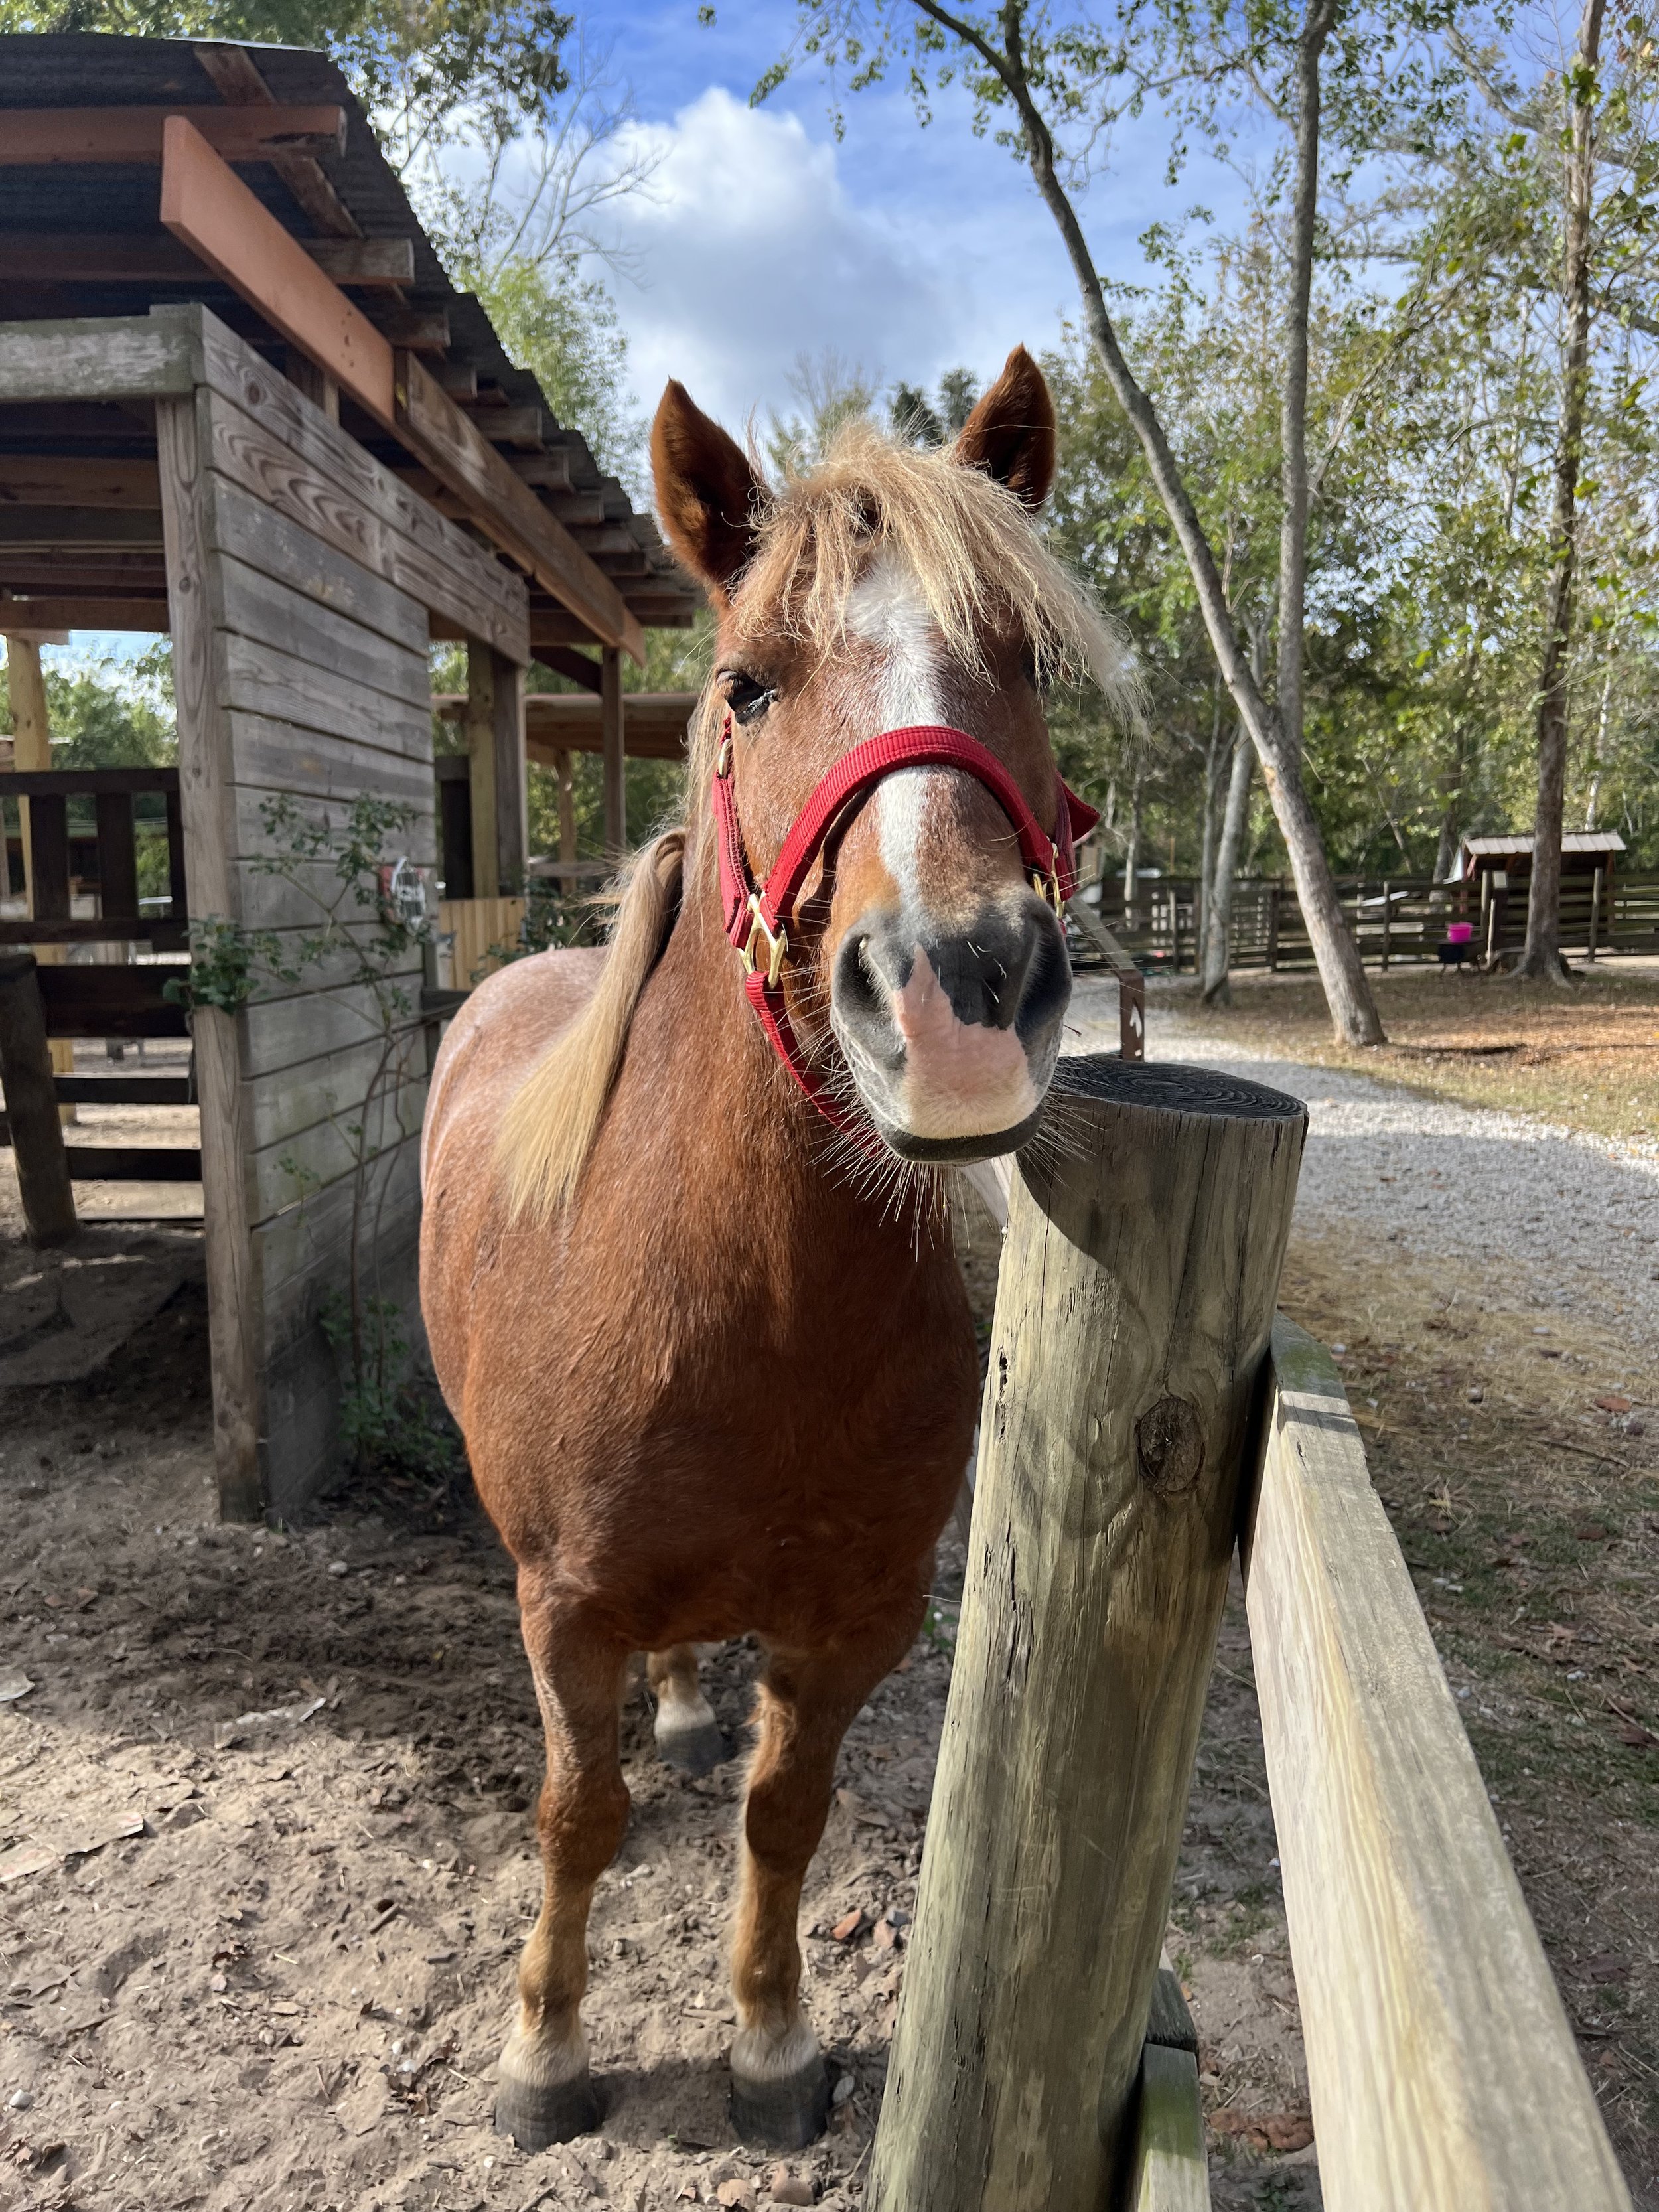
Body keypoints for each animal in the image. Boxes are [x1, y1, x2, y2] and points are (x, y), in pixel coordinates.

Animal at [419, 345, 1133, 2154]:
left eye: (1025, 665)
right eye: (744, 684)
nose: (960, 996)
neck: (748, 1318)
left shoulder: (852, 1621)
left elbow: (783, 1816)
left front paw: (767, 2036)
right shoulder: (563, 1614)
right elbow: (577, 1815)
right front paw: (545, 2049)